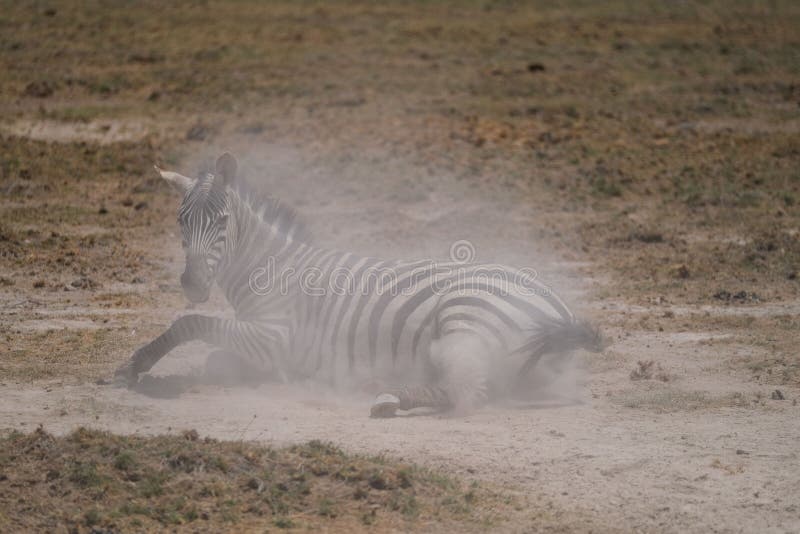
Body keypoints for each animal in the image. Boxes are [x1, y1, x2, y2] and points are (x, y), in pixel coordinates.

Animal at [114, 153, 605, 417]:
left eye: (220, 220)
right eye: (180, 221)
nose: (193, 283)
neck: (271, 267)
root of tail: (560, 310)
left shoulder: (276, 337)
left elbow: (191, 324)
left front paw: (135, 365)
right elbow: (216, 356)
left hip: (465, 317)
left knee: (466, 394)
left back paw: (388, 395)